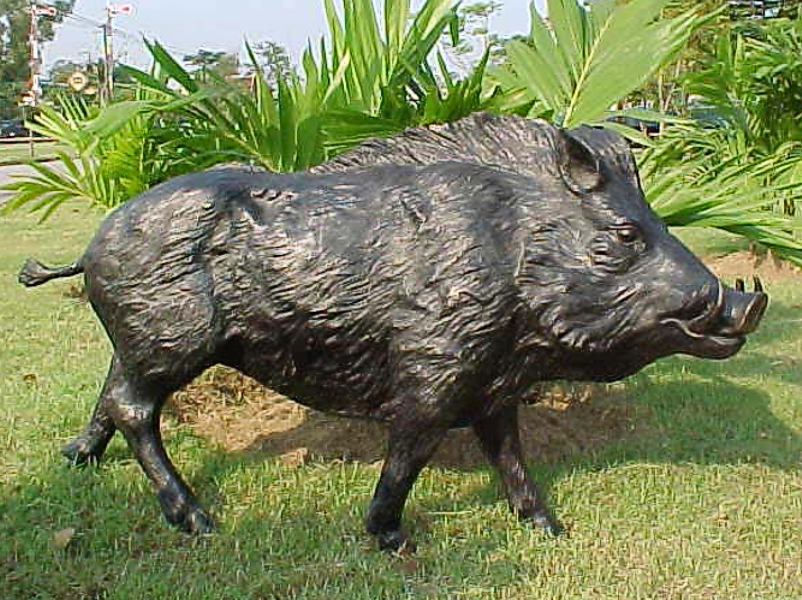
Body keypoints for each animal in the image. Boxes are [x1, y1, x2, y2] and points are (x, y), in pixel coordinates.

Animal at [19, 113, 767, 551]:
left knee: (111, 390)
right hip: (173, 338)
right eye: (625, 234)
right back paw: (201, 522)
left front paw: (552, 529)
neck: (516, 251)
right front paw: (393, 541)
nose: (740, 304)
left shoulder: (495, 383)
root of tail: (94, 243)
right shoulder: (436, 368)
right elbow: (410, 452)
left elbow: (510, 454)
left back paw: (76, 460)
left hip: (142, 338)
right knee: (135, 409)